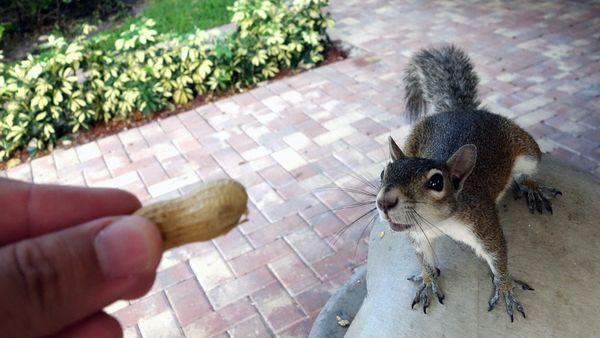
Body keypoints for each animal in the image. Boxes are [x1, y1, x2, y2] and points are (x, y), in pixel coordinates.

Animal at [380, 45, 564, 322]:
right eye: (383, 172)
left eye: (437, 182)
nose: (383, 202)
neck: (439, 222)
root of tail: (461, 111)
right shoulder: (419, 235)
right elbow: (424, 259)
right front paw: (427, 280)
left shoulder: (482, 222)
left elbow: (498, 256)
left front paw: (505, 287)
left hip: (527, 150)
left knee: (527, 172)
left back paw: (532, 188)